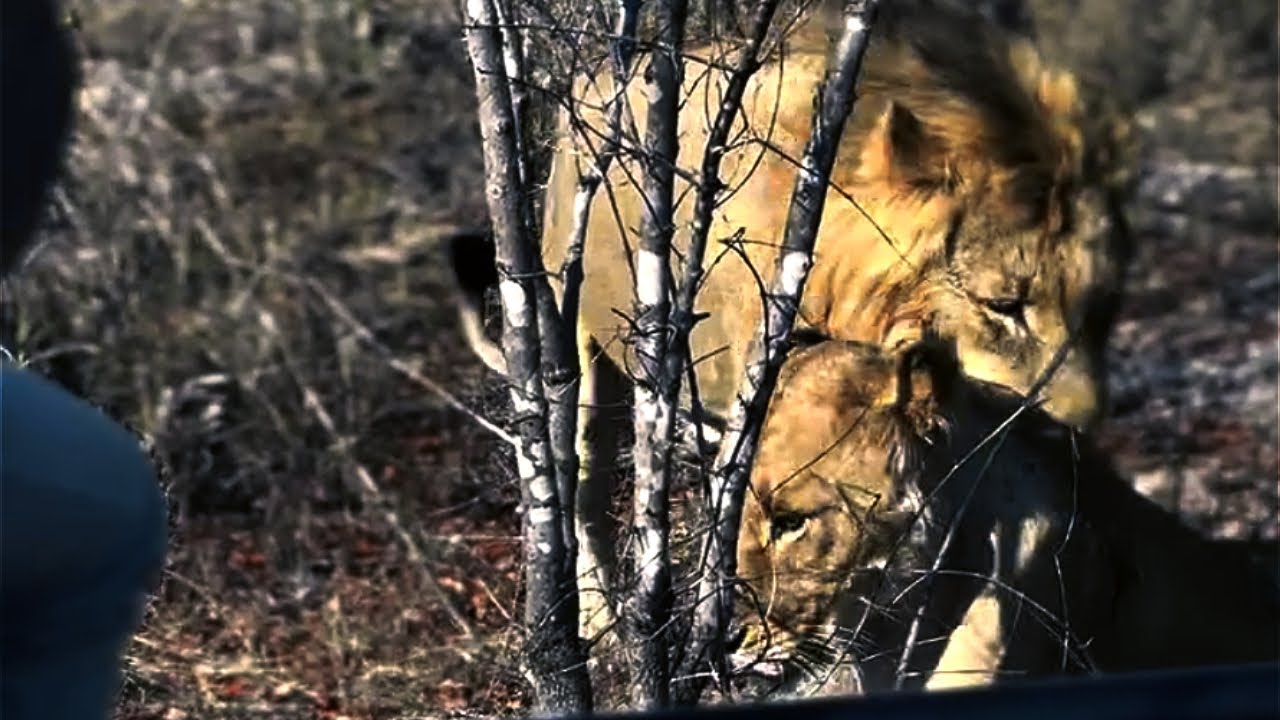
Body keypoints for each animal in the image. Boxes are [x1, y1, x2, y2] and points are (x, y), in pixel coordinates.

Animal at [448, 0, 1137, 639]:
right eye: (1004, 306)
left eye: (1103, 312)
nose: (1078, 442)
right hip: (580, 353)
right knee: (581, 490)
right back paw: (599, 625)